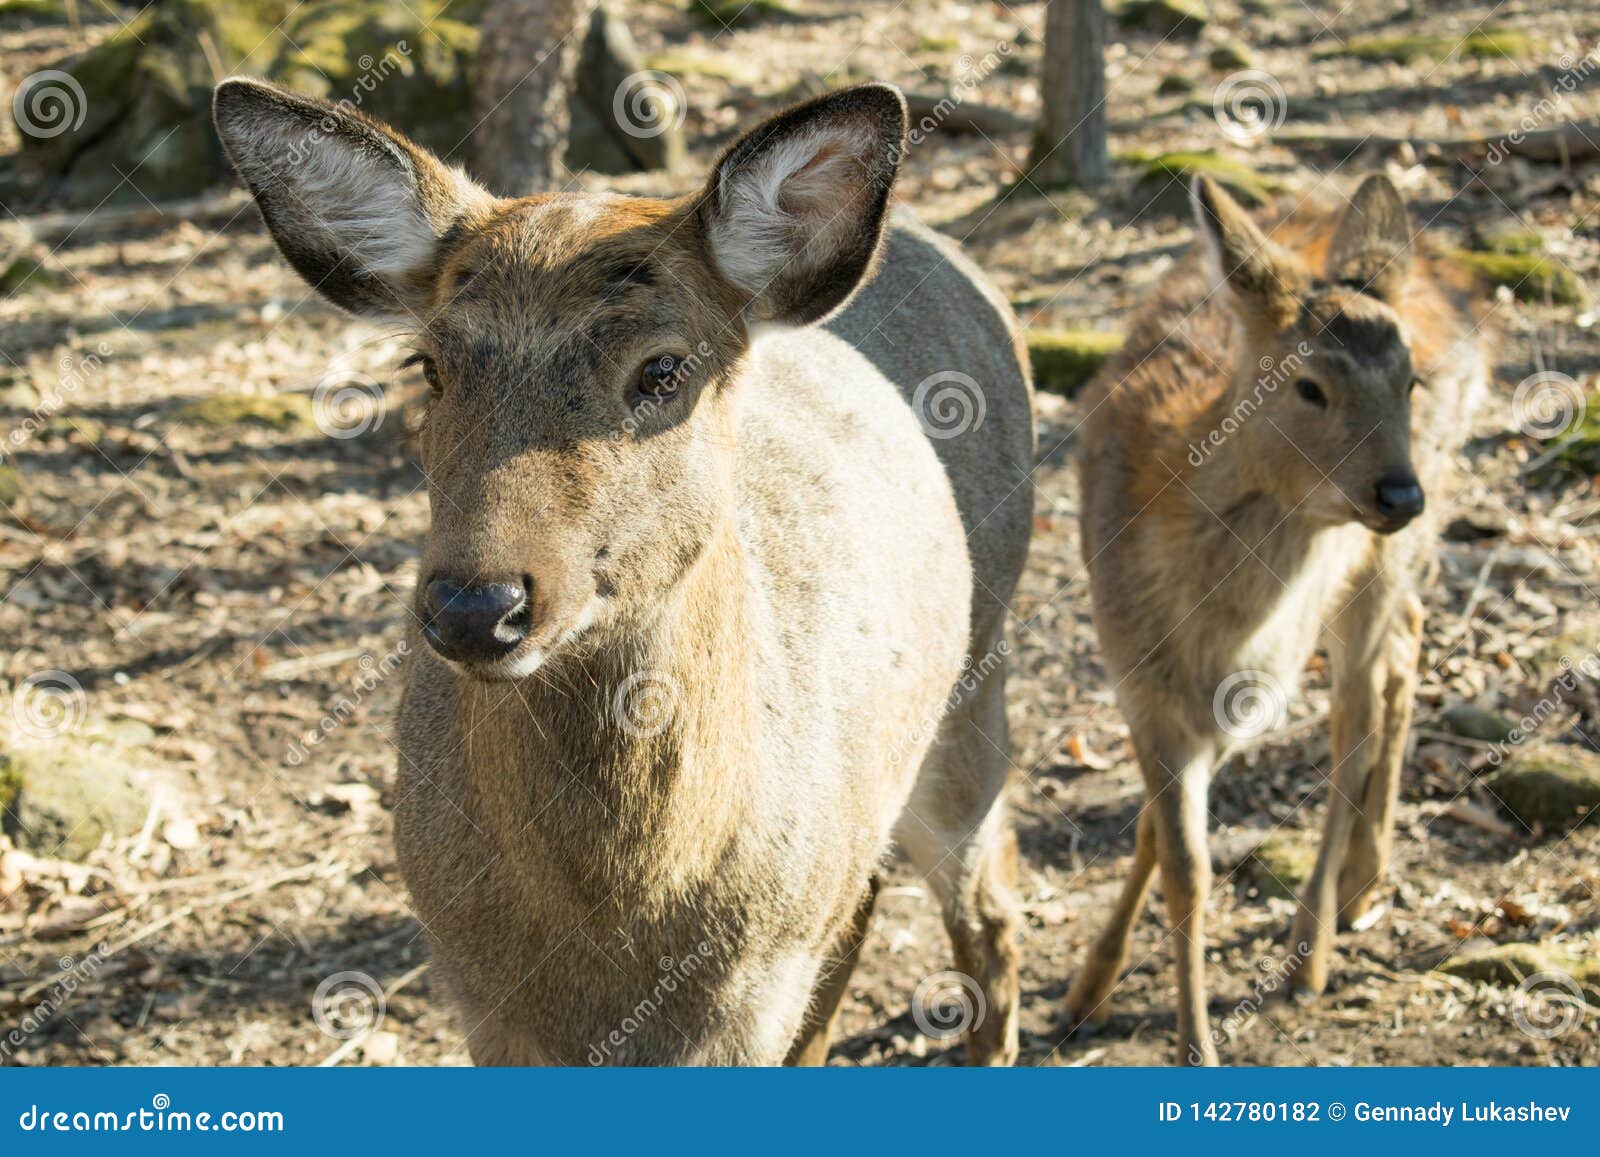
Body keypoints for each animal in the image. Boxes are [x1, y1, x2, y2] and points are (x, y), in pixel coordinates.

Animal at [212, 78, 1034, 1065]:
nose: (475, 606)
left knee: (988, 904)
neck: (618, 935)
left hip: (975, 679)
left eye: (663, 369)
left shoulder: (752, 996)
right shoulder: (479, 993)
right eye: (429, 364)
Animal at [1067, 174, 1490, 1065]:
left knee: (1358, 714)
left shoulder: (1254, 678)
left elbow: (1189, 862)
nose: (1399, 492)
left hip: (1384, 558)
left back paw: (1313, 943)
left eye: (1409, 383)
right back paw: (1362, 880)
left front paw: (1195, 1045)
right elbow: (1171, 845)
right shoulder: (1141, 680)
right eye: (1309, 385)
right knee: (1407, 643)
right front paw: (1088, 990)